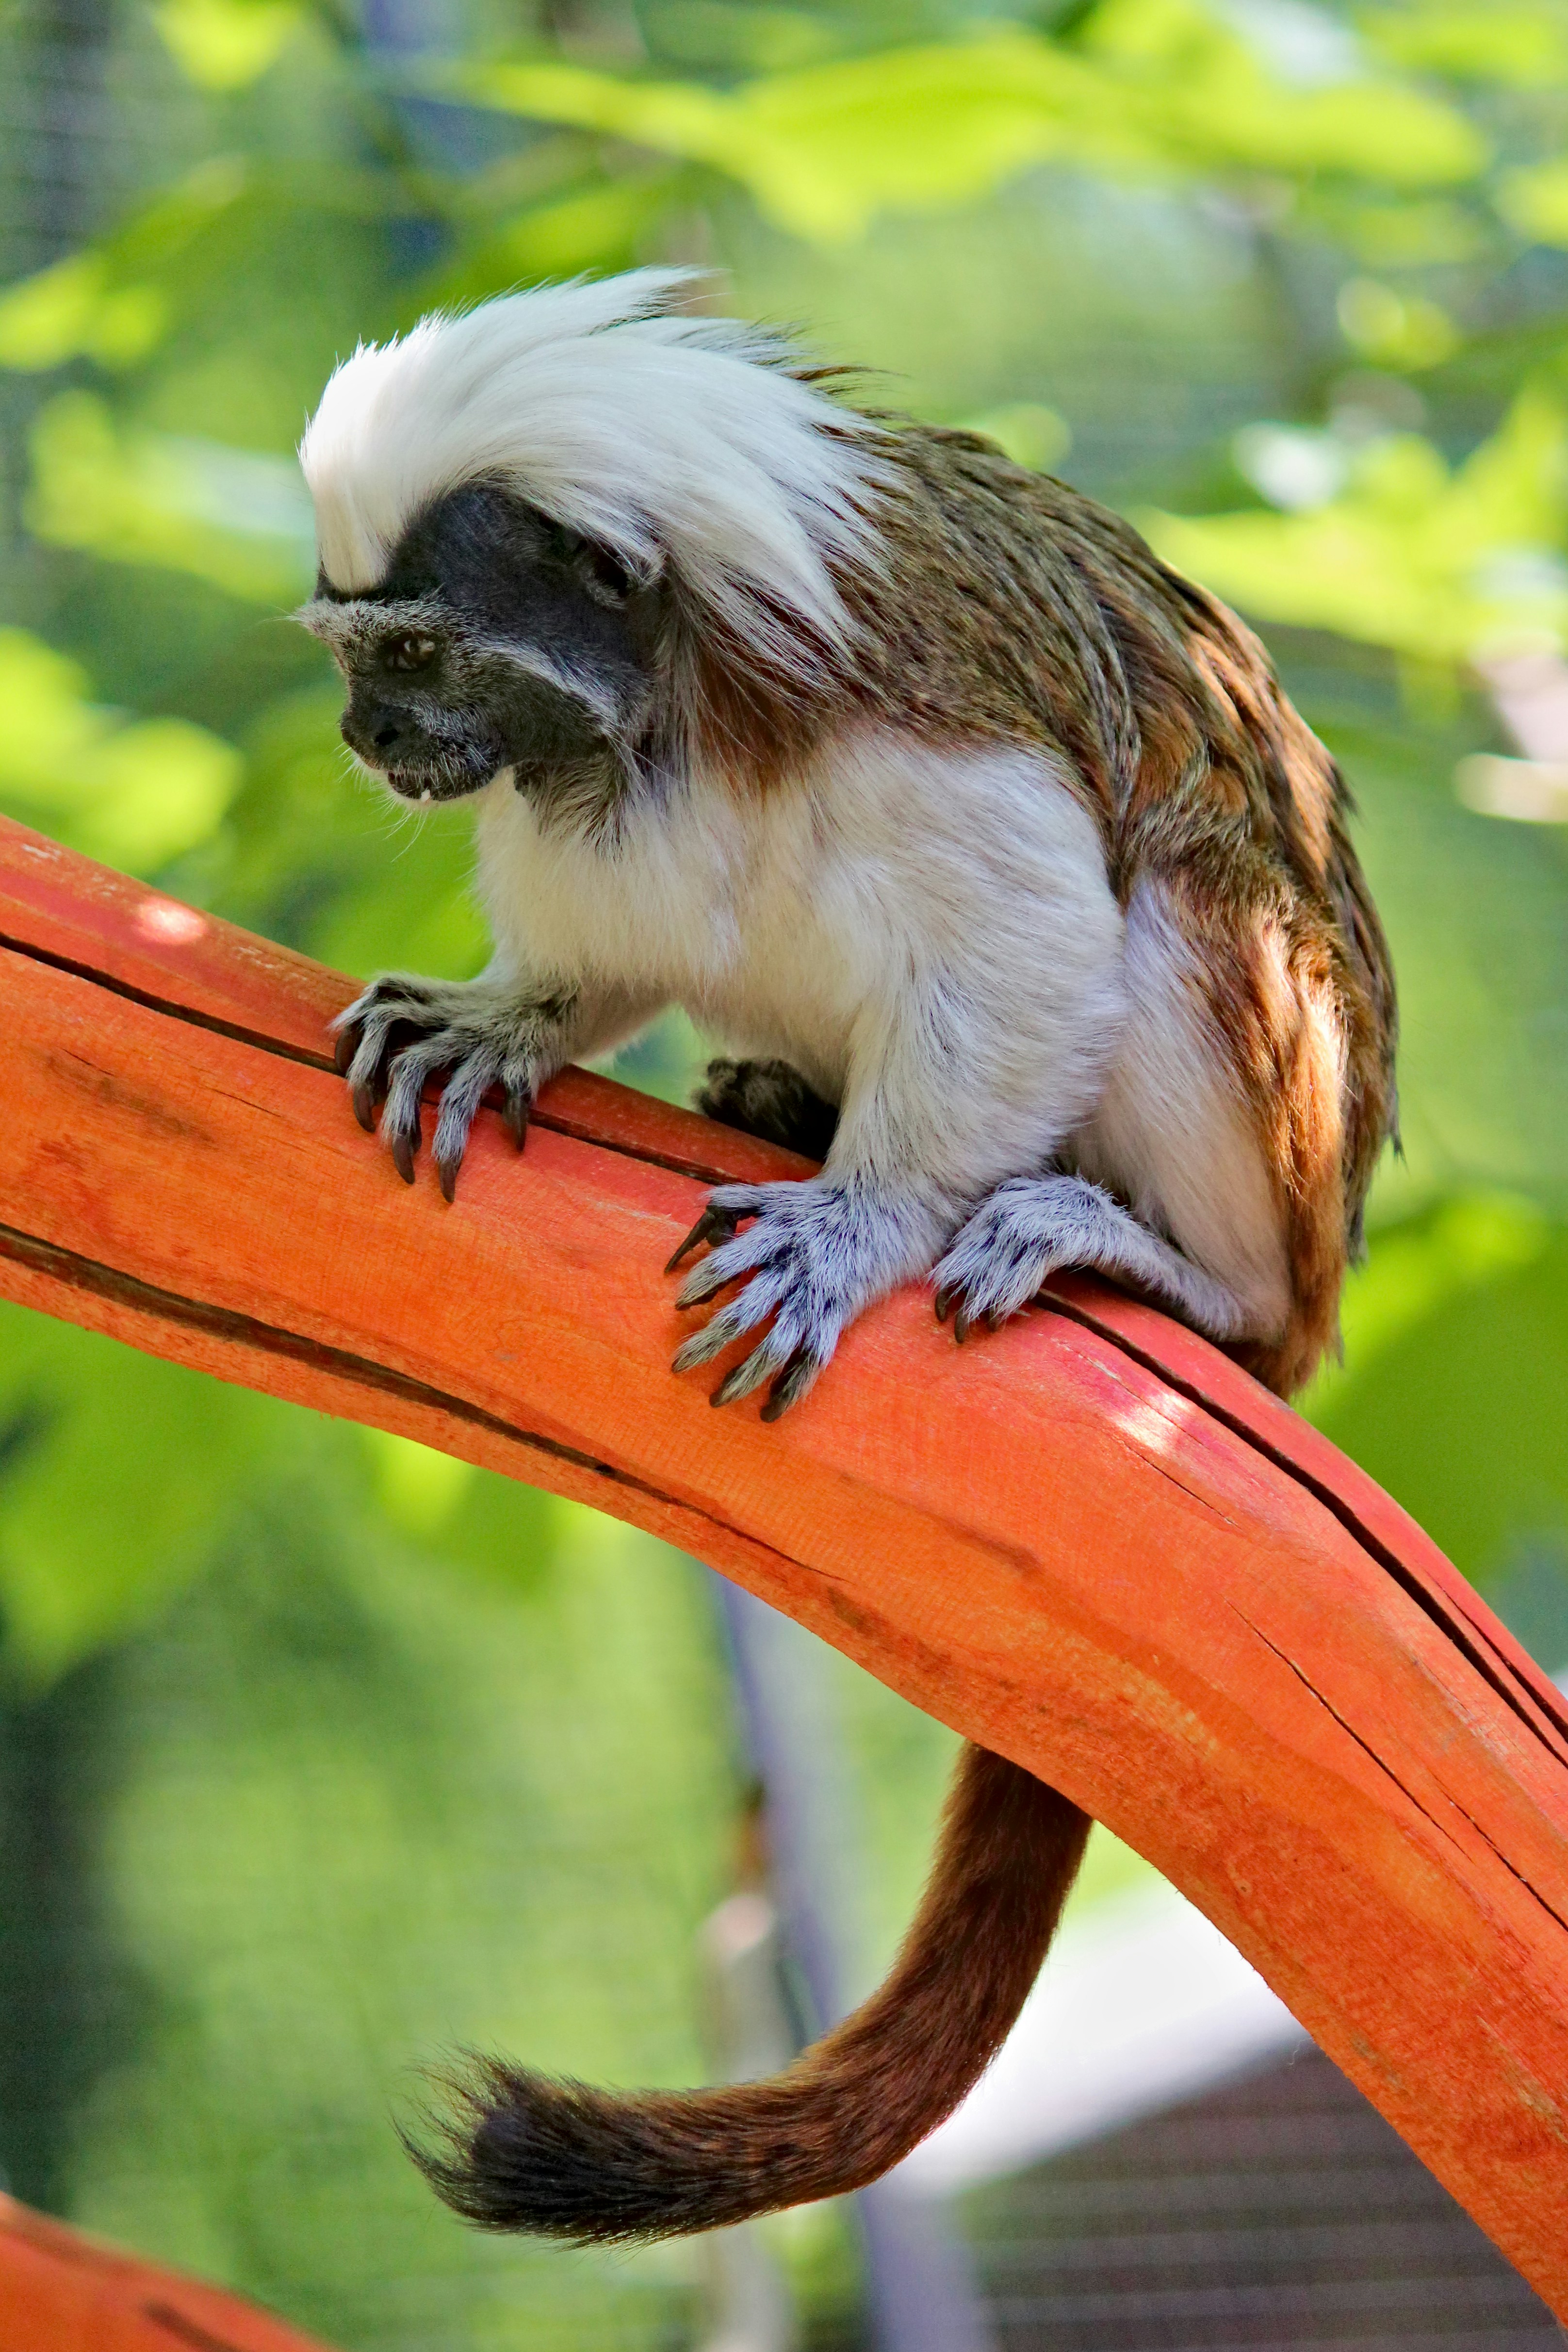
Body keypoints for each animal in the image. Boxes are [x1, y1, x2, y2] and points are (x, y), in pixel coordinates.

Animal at [296, 269, 1397, 2248]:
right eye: (352, 652)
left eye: (412, 652)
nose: (364, 738)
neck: (676, 701)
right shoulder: (588, 800)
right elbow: (598, 951)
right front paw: (505, 1027)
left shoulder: (936, 740)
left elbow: (1032, 942)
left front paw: (865, 1221)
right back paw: (776, 1094)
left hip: (1290, 1164)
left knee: (1188, 905)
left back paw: (1156, 1267)